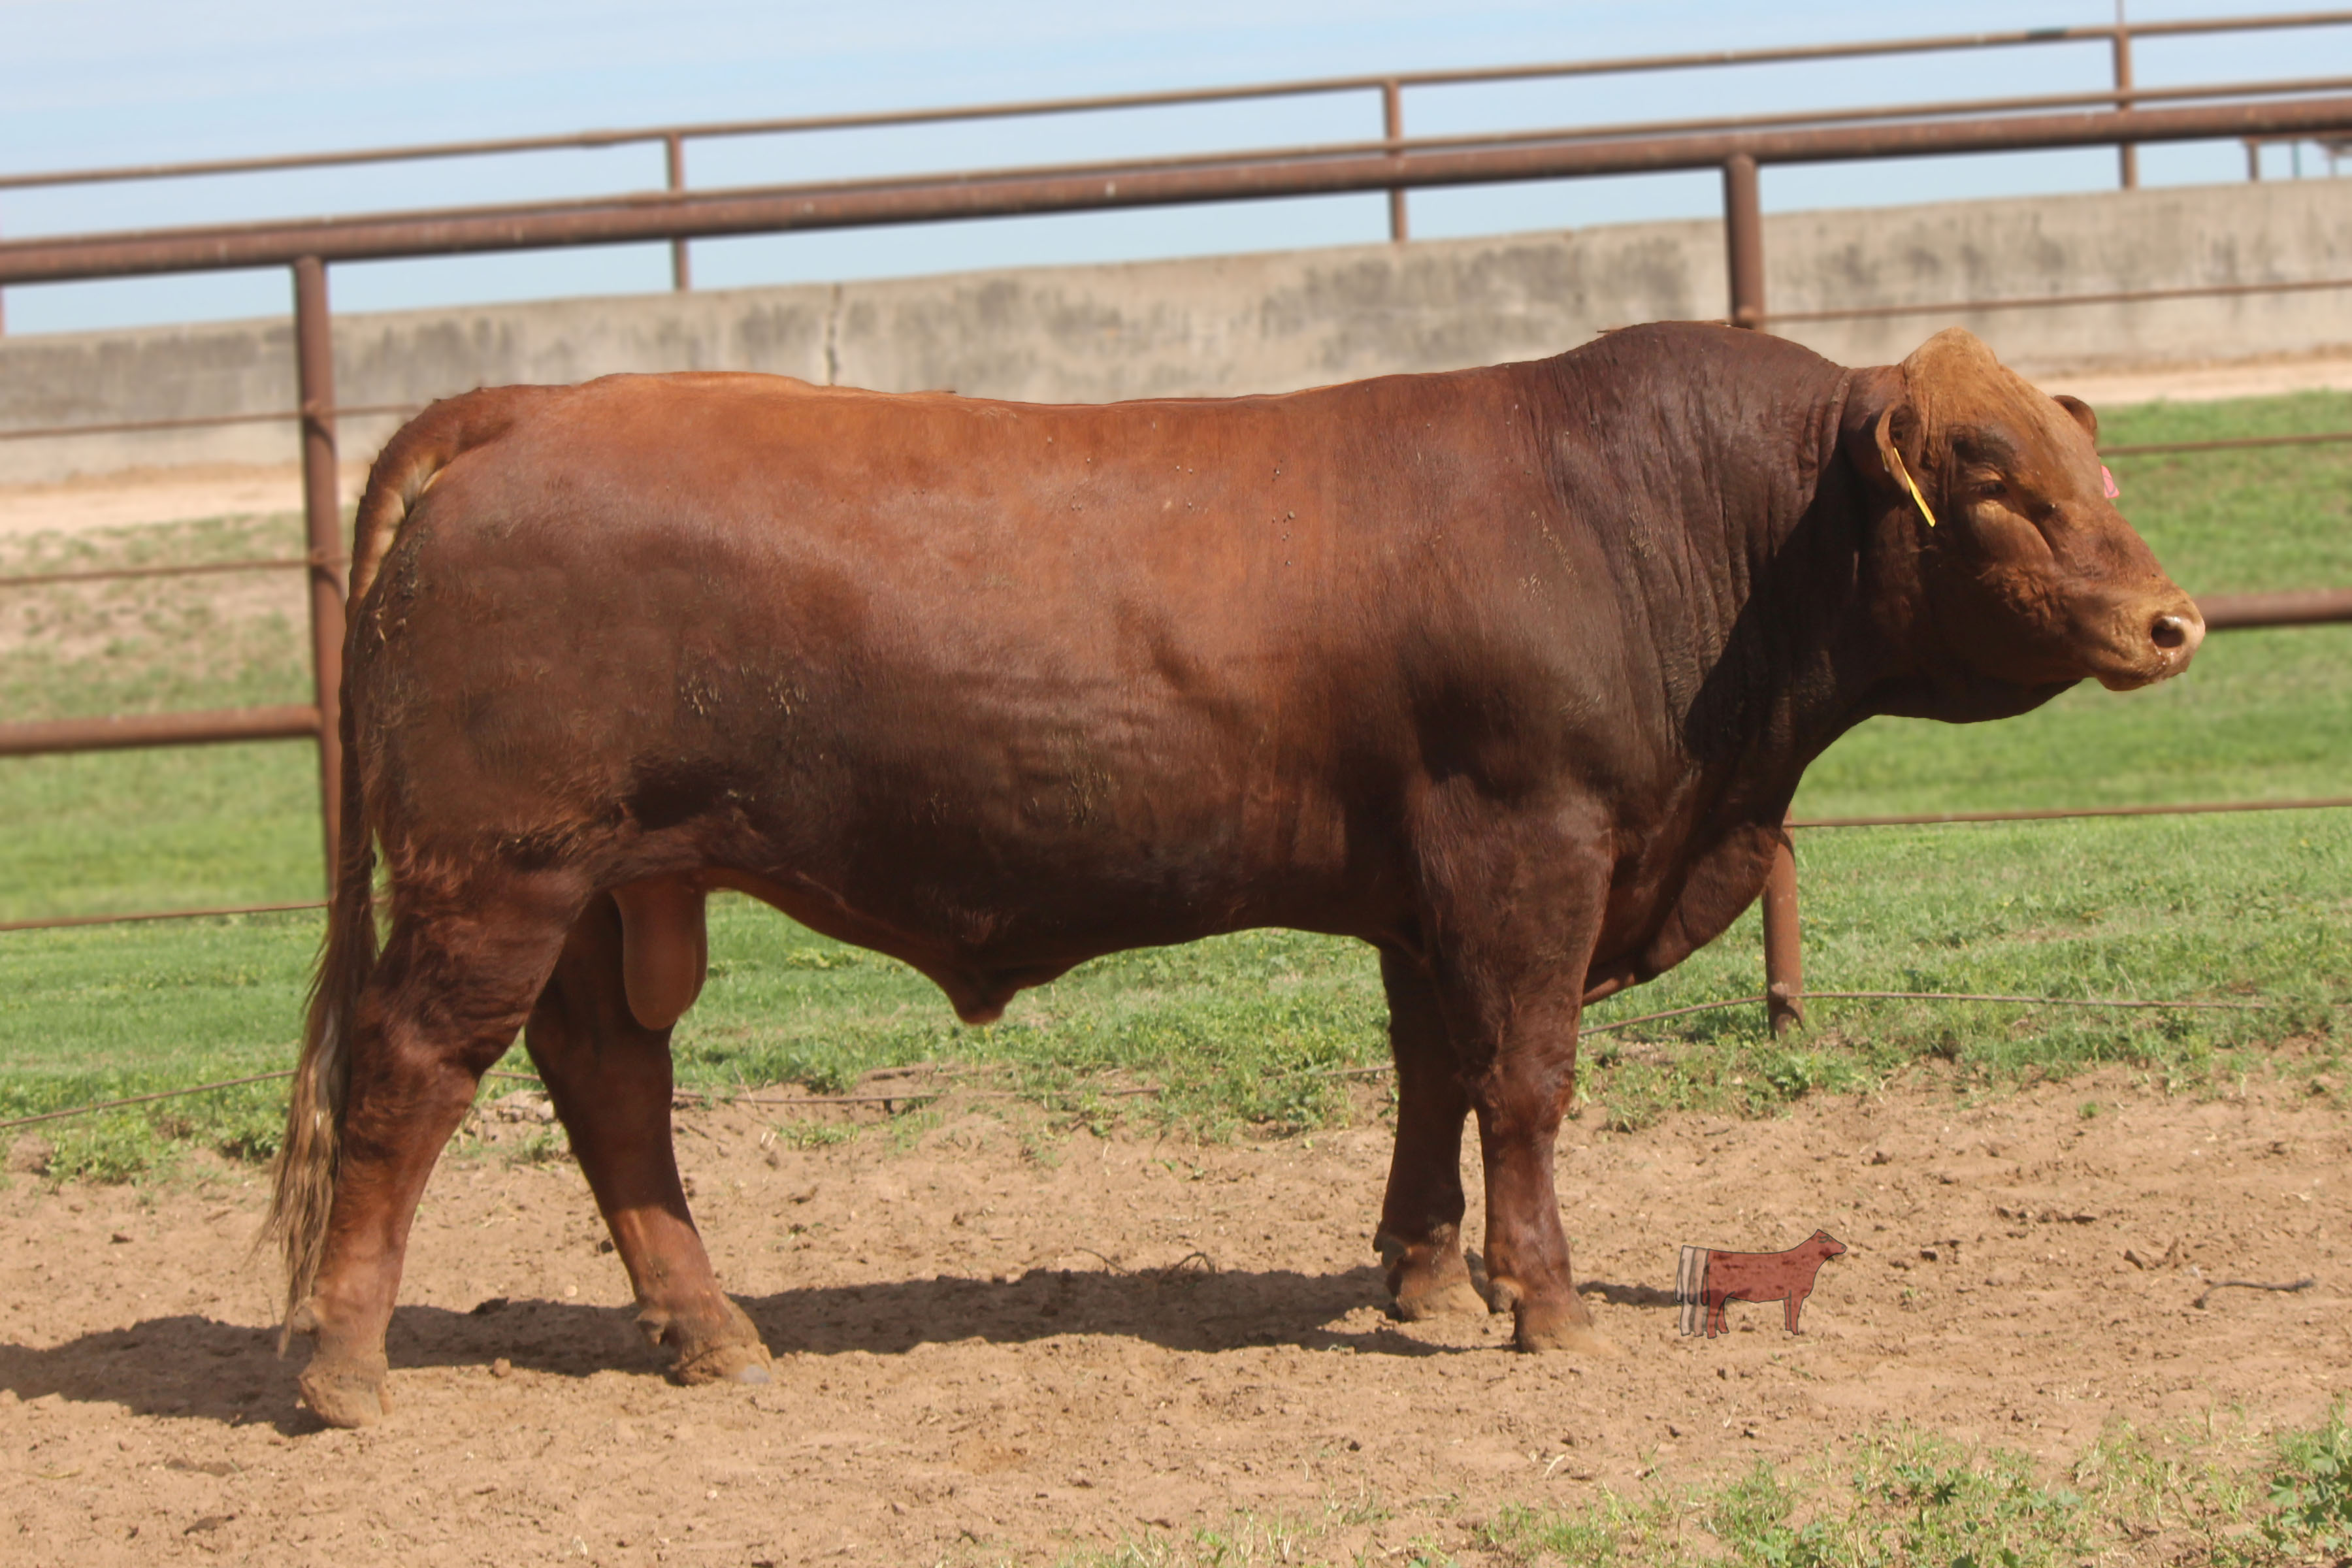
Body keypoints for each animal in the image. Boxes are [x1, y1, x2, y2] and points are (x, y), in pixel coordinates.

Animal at [1678, 1230, 1847, 1337]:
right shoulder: (1797, 1295)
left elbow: (1788, 1313)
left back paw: (1725, 1332)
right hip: (1718, 1294)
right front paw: (1796, 1333)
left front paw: (1788, 1331)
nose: (1844, 1246)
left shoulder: (1788, 1296)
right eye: (1828, 1238)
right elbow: (1794, 1314)